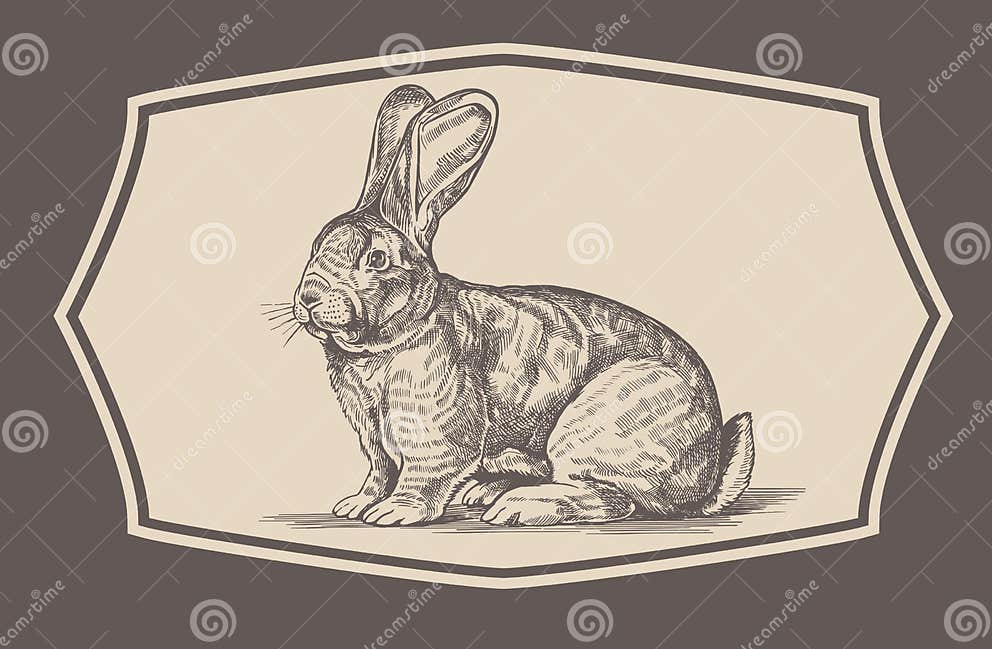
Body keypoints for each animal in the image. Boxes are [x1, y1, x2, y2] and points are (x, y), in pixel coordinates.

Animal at [288, 84, 754, 526]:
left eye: (377, 260)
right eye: (315, 244)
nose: (308, 297)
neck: (401, 332)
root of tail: (707, 478)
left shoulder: (435, 429)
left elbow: (424, 474)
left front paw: (394, 513)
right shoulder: (372, 436)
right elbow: (379, 471)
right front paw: (355, 505)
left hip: (597, 427)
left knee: (610, 499)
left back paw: (517, 507)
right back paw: (485, 491)